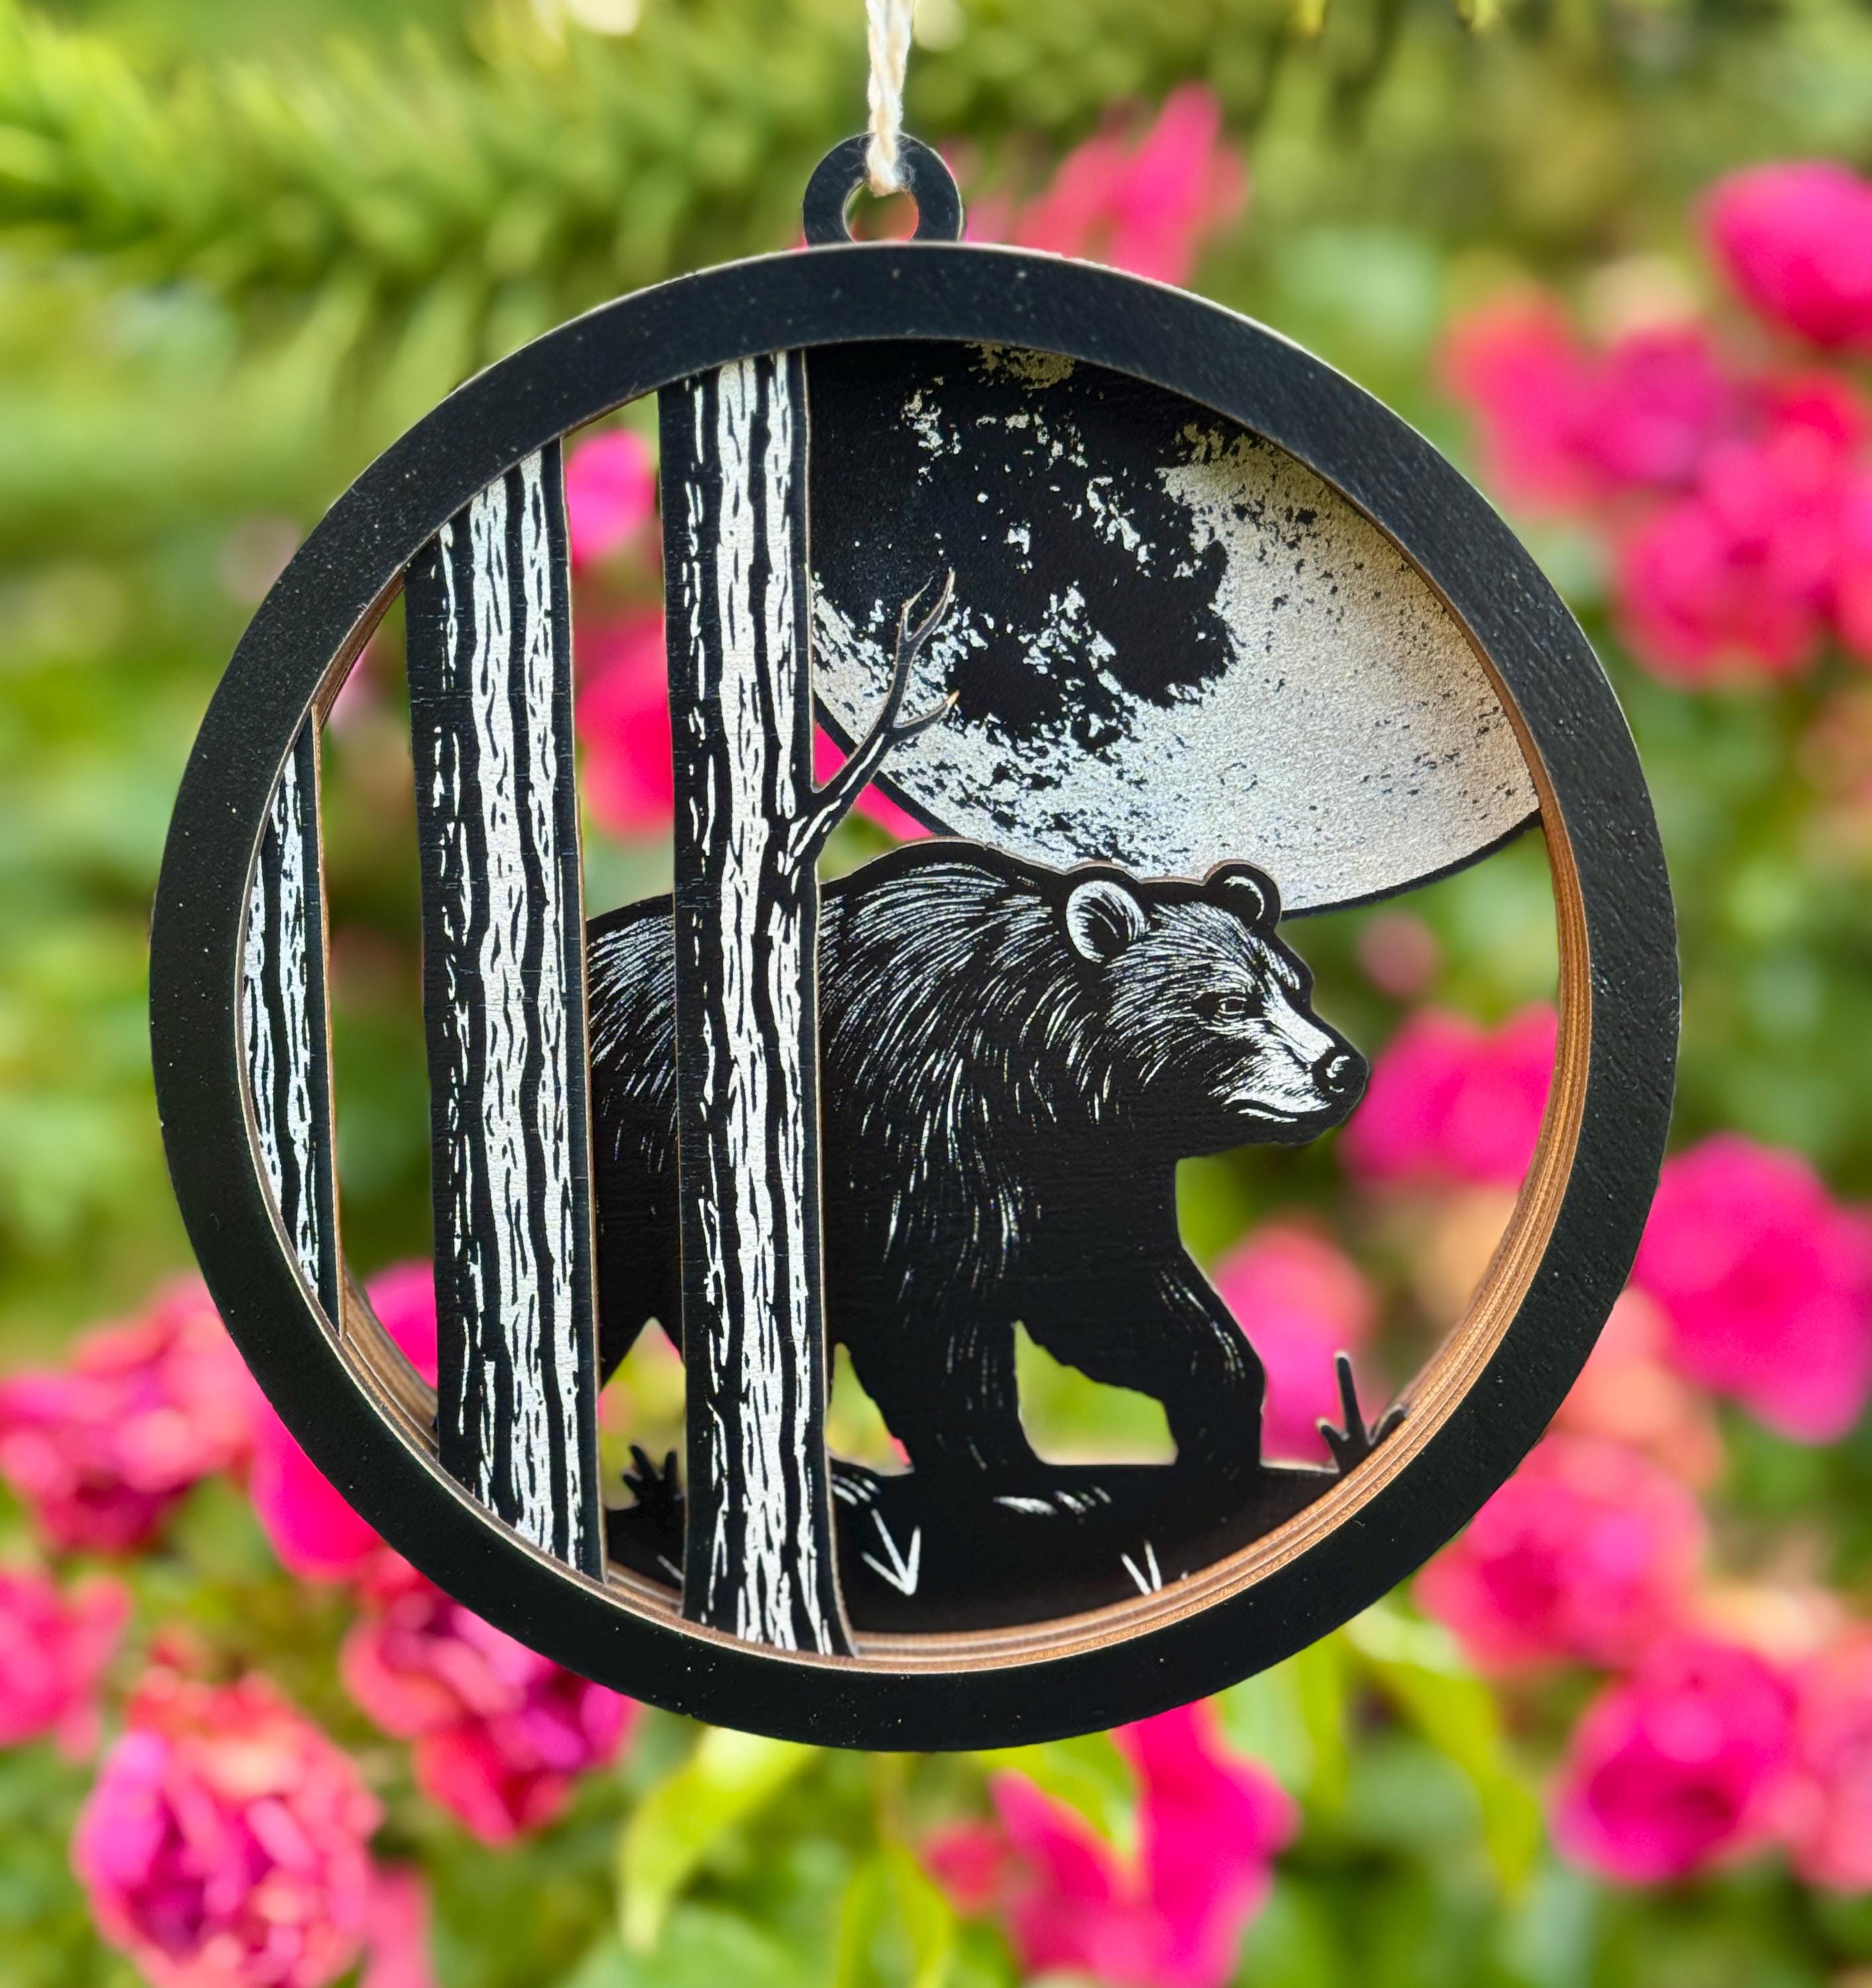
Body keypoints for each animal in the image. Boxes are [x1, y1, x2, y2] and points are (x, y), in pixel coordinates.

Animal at [585, 839, 1366, 1491]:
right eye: (1227, 1003)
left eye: (1297, 985)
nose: (1341, 1066)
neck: (1032, 1079)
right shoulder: (915, 1129)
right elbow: (927, 1318)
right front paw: (1026, 1477)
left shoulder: (1082, 1166)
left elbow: (1114, 1295)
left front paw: (1218, 1432)